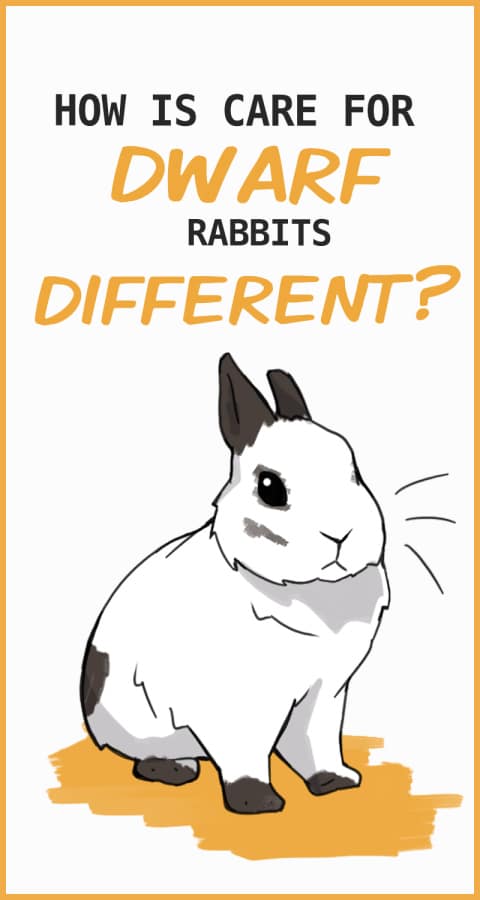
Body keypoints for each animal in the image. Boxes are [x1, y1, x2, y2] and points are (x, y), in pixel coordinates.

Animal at [81, 353, 389, 814]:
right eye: (270, 488)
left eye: (356, 472)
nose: (341, 535)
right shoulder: (234, 705)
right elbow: (245, 753)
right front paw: (257, 802)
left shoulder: (324, 696)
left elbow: (316, 743)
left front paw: (335, 781)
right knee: (154, 752)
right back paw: (173, 770)